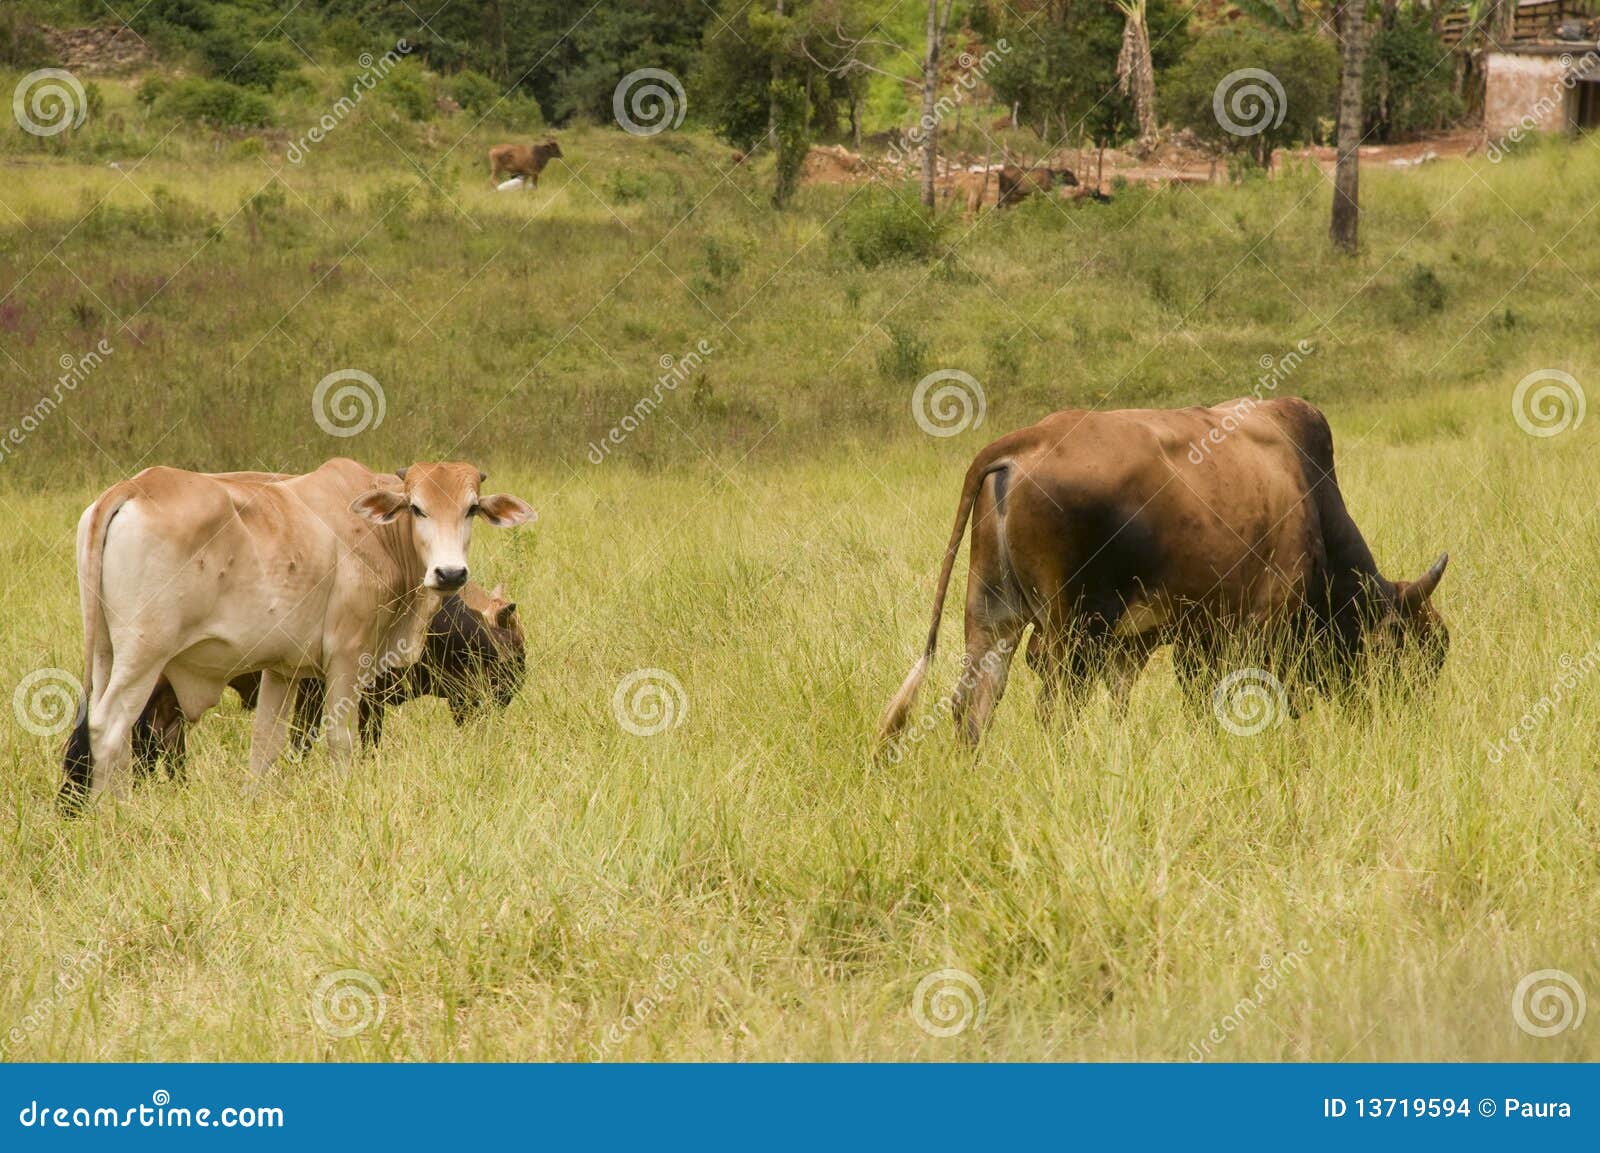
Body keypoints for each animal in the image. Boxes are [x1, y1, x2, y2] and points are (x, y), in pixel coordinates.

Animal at [130, 582, 525, 780]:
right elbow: (303, 740)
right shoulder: (320, 691)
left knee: (163, 739)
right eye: (512, 650)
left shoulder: (369, 699)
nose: (516, 686)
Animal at [877, 398, 1449, 749]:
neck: (1310, 494)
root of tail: (1030, 439)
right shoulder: (1260, 626)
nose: (1411, 724)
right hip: (1071, 632)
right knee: (1054, 708)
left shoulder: (1167, 638)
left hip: (992, 615)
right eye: (1415, 652)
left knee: (973, 704)